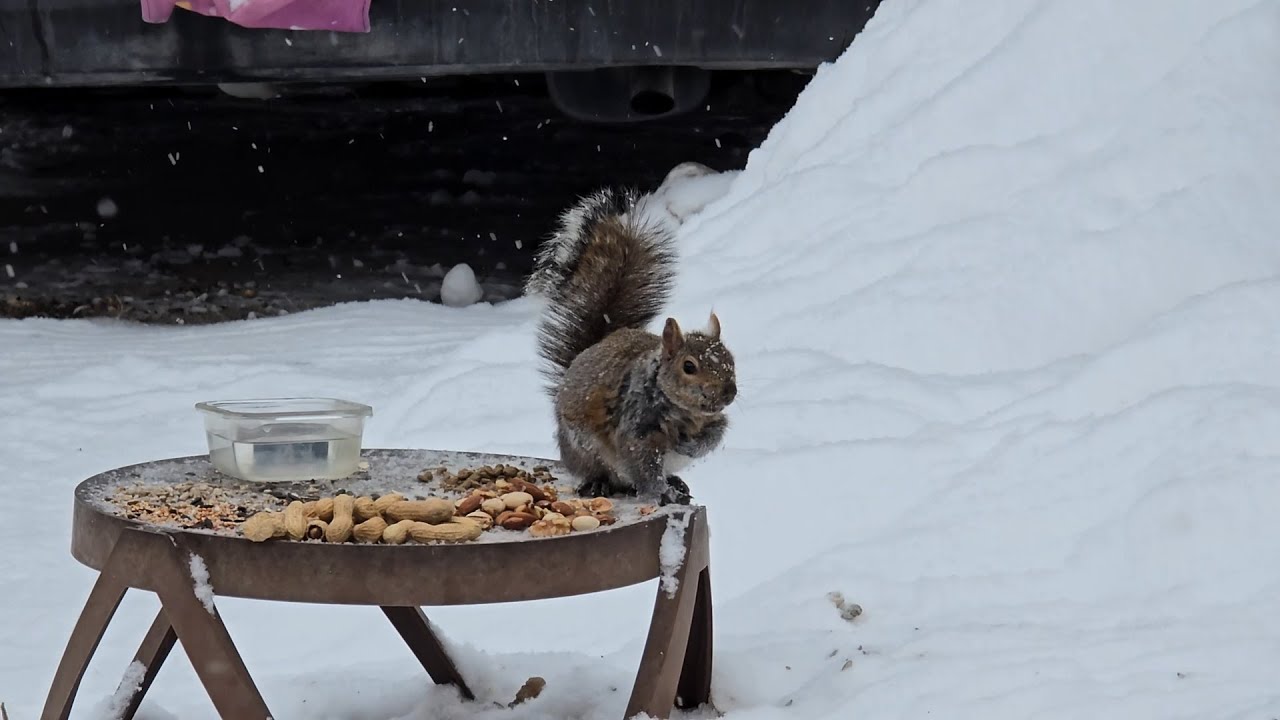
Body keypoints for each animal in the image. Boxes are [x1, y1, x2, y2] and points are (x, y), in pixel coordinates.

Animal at [526, 165, 738, 506]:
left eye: (731, 360)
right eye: (688, 366)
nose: (729, 393)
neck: (684, 412)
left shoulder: (714, 420)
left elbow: (713, 437)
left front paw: (689, 447)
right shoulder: (635, 425)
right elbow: (643, 463)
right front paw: (660, 492)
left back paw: (677, 481)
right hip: (583, 448)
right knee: (602, 471)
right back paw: (601, 483)